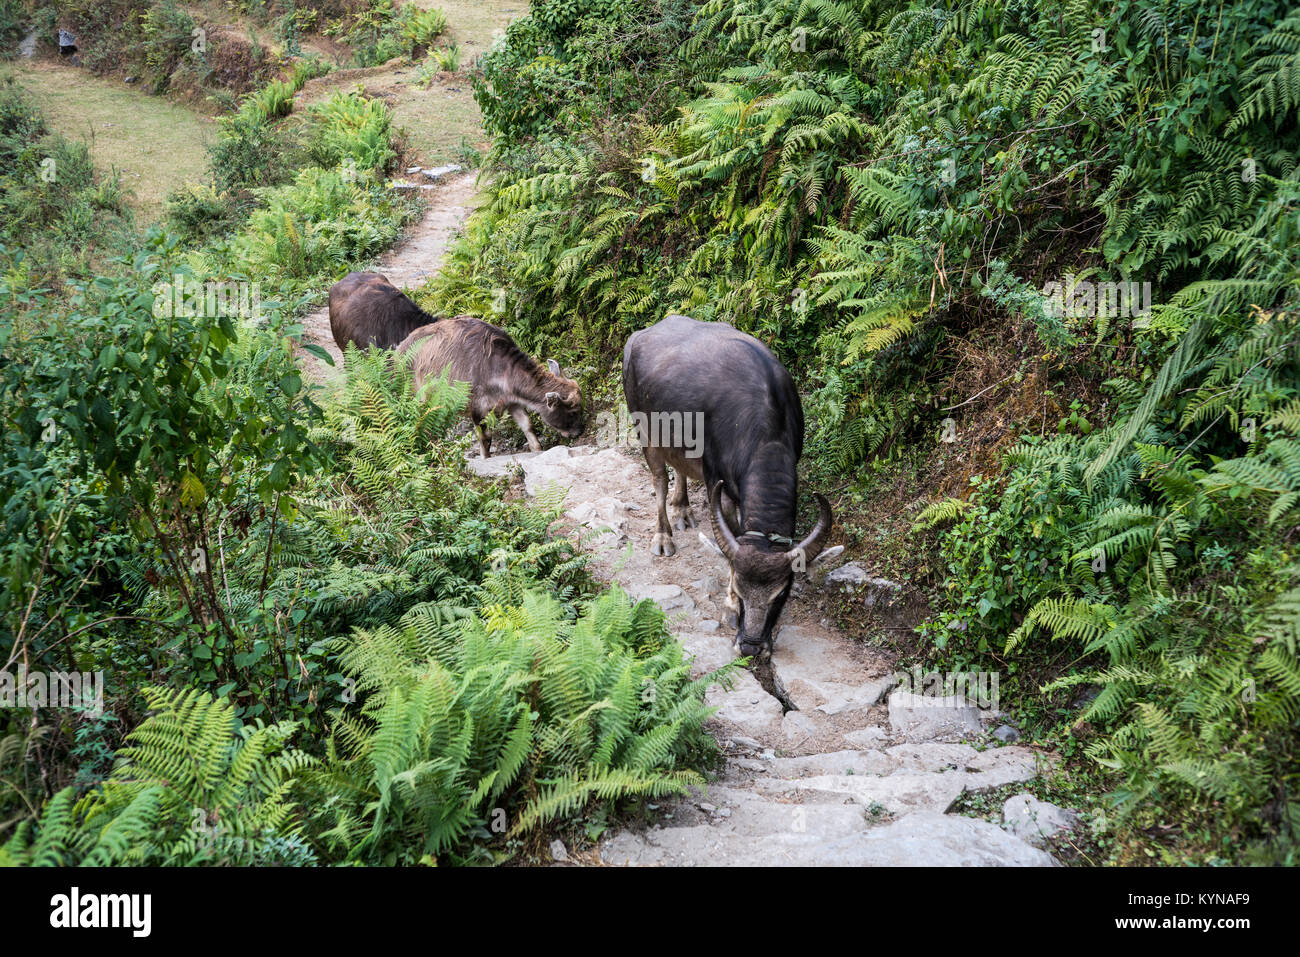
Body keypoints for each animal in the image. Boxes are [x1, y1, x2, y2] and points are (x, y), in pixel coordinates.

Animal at [396, 316, 583, 458]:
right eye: (572, 412)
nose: (579, 432)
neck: (496, 368)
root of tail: (400, 349)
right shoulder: (477, 409)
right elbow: (485, 439)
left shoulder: (512, 402)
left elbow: (527, 425)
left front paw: (537, 448)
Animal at [622, 315, 840, 660]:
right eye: (738, 588)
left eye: (780, 596)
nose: (750, 646)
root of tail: (639, 336)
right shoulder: (717, 483)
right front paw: (727, 605)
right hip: (645, 431)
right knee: (659, 480)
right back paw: (664, 537)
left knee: (679, 466)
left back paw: (682, 509)